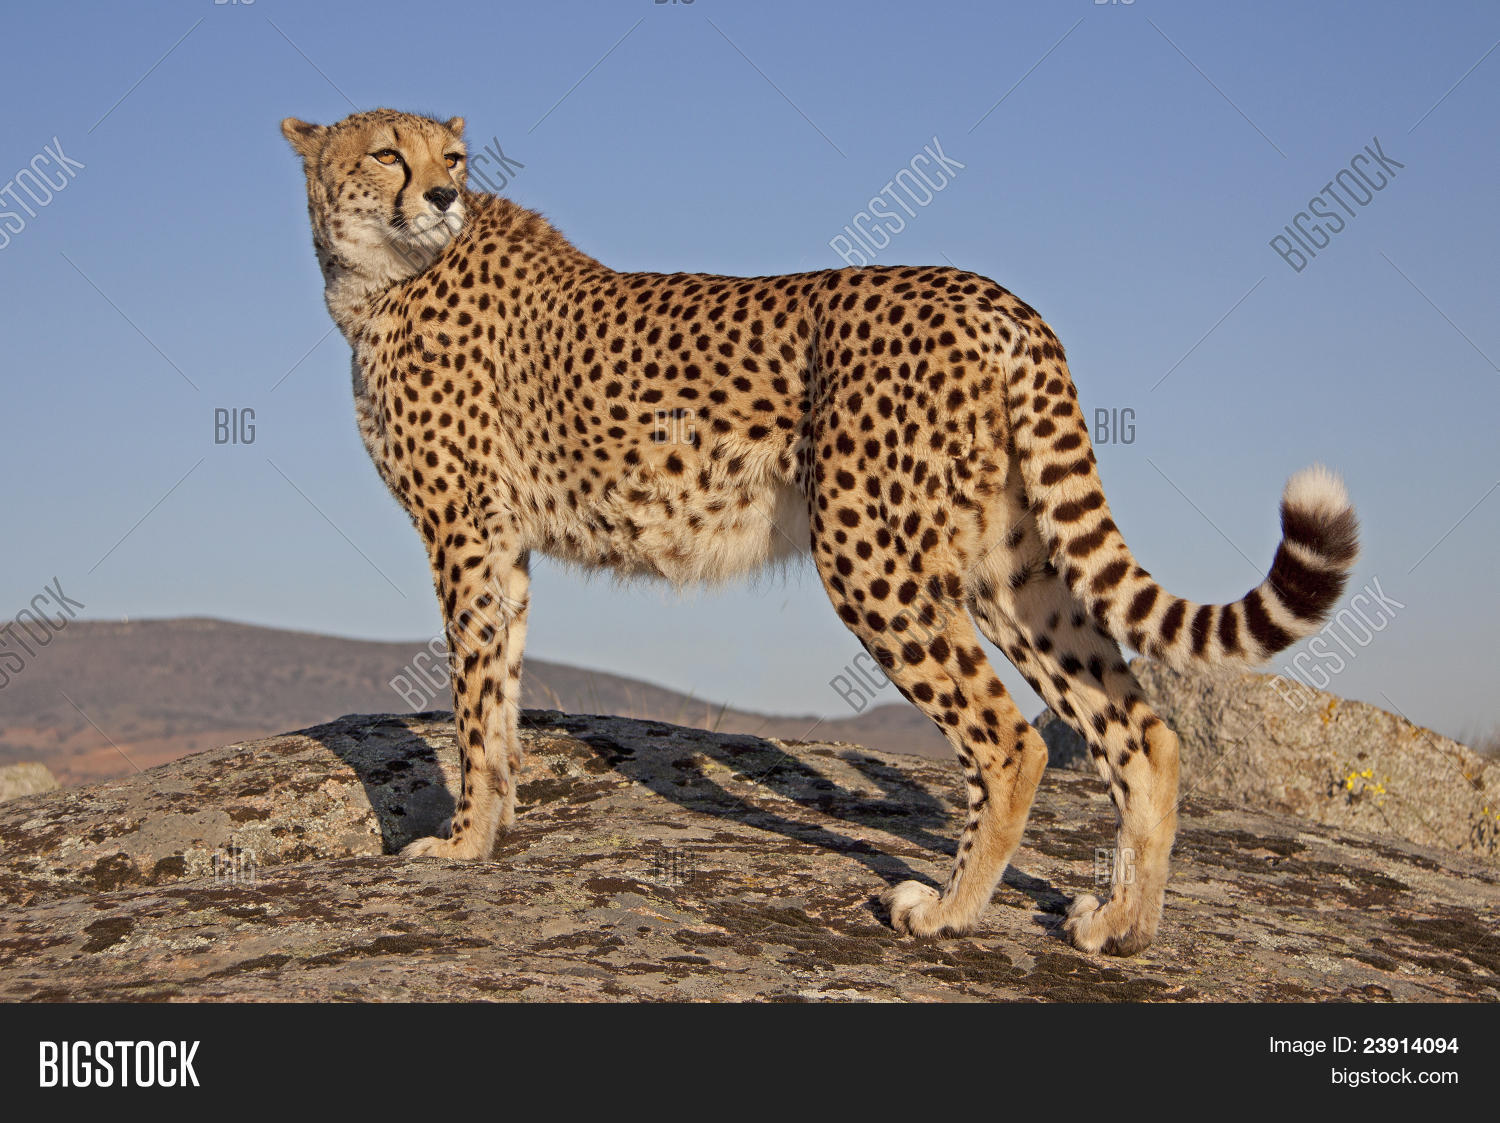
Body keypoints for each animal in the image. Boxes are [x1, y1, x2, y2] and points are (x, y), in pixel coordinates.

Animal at [282, 108, 1359, 956]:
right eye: (388, 153)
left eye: (453, 159)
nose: (444, 197)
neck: (382, 277)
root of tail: (999, 300)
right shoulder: (500, 545)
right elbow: (498, 694)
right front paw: (492, 830)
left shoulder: (464, 531)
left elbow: (471, 701)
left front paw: (459, 843)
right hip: (1005, 565)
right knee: (1140, 727)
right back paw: (1124, 925)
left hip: (869, 550)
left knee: (1013, 738)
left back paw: (948, 911)